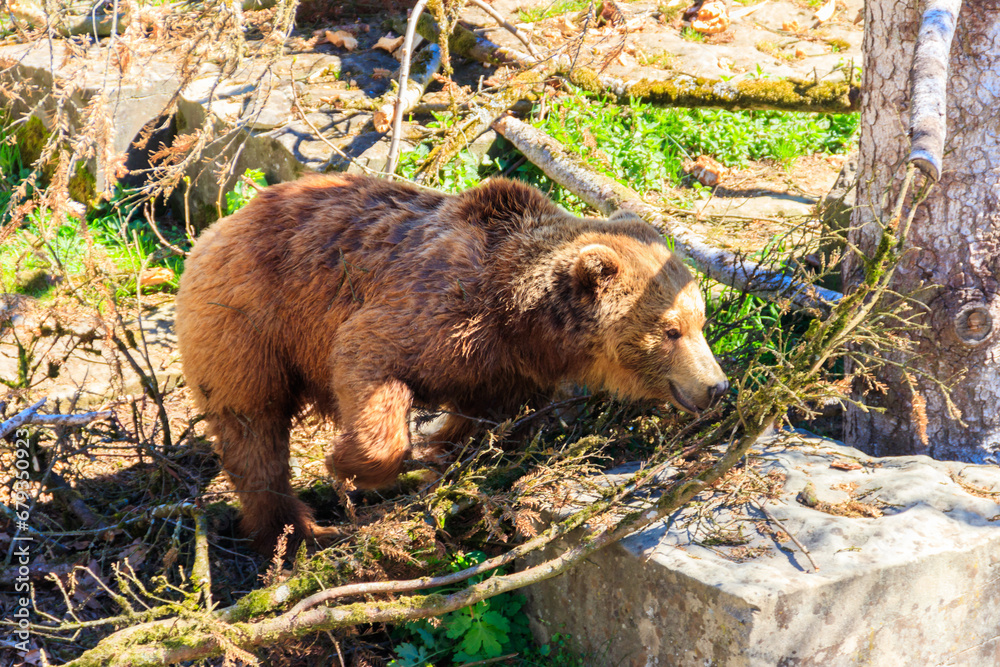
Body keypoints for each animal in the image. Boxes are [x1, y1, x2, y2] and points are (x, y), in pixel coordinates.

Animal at [175, 174, 728, 553]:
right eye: (672, 329)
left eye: (700, 320)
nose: (717, 386)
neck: (520, 317)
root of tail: (217, 225)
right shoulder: (432, 304)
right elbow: (366, 356)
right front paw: (356, 465)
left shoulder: (505, 371)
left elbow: (481, 425)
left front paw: (442, 463)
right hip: (250, 319)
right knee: (253, 427)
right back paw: (293, 529)